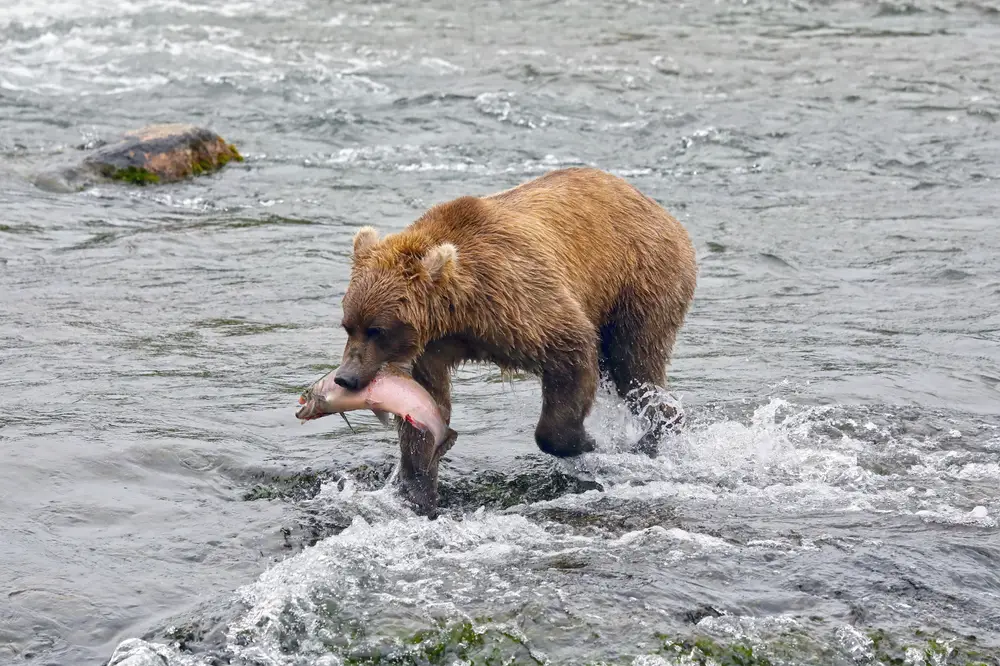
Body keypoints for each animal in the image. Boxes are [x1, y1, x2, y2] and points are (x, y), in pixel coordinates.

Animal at [335, 167, 697, 516]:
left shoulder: (516, 301)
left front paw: (587, 442)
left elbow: (571, 347)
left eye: (377, 329)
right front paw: (418, 490)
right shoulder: (433, 347)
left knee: (635, 368)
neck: (458, 310)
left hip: (640, 282)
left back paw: (658, 431)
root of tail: (658, 208)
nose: (345, 377)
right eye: (348, 325)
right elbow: (424, 403)